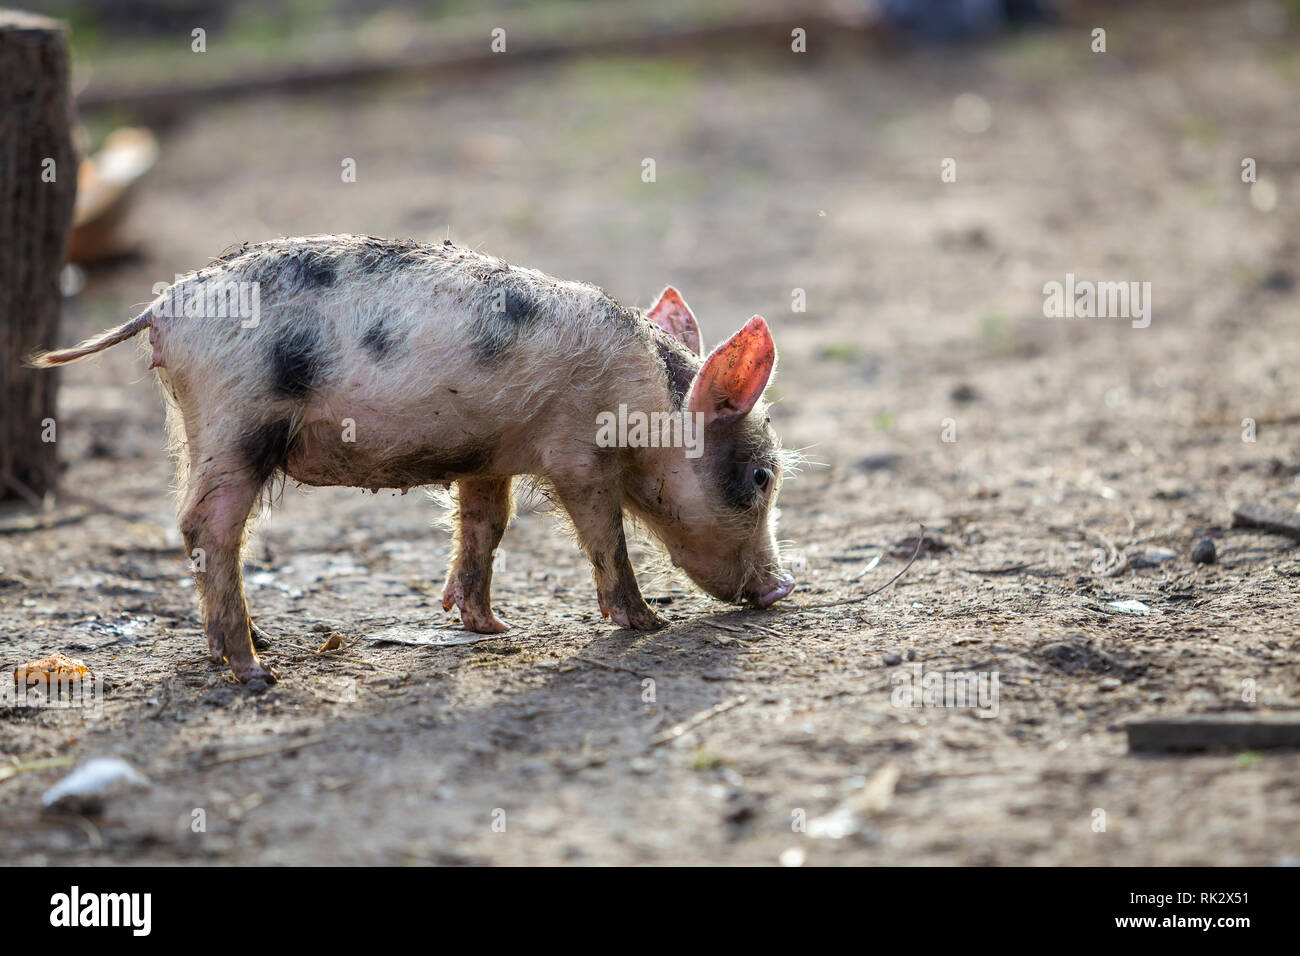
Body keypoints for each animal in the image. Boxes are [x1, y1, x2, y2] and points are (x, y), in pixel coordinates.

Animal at [31, 235, 796, 682]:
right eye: (761, 477)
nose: (784, 589)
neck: (646, 400)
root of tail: (161, 308)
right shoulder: (578, 454)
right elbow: (604, 535)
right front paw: (648, 624)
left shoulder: (491, 455)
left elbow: (485, 526)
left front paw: (490, 626)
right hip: (235, 418)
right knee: (207, 525)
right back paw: (254, 670)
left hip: (196, 424)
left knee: (199, 527)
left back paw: (256, 645)